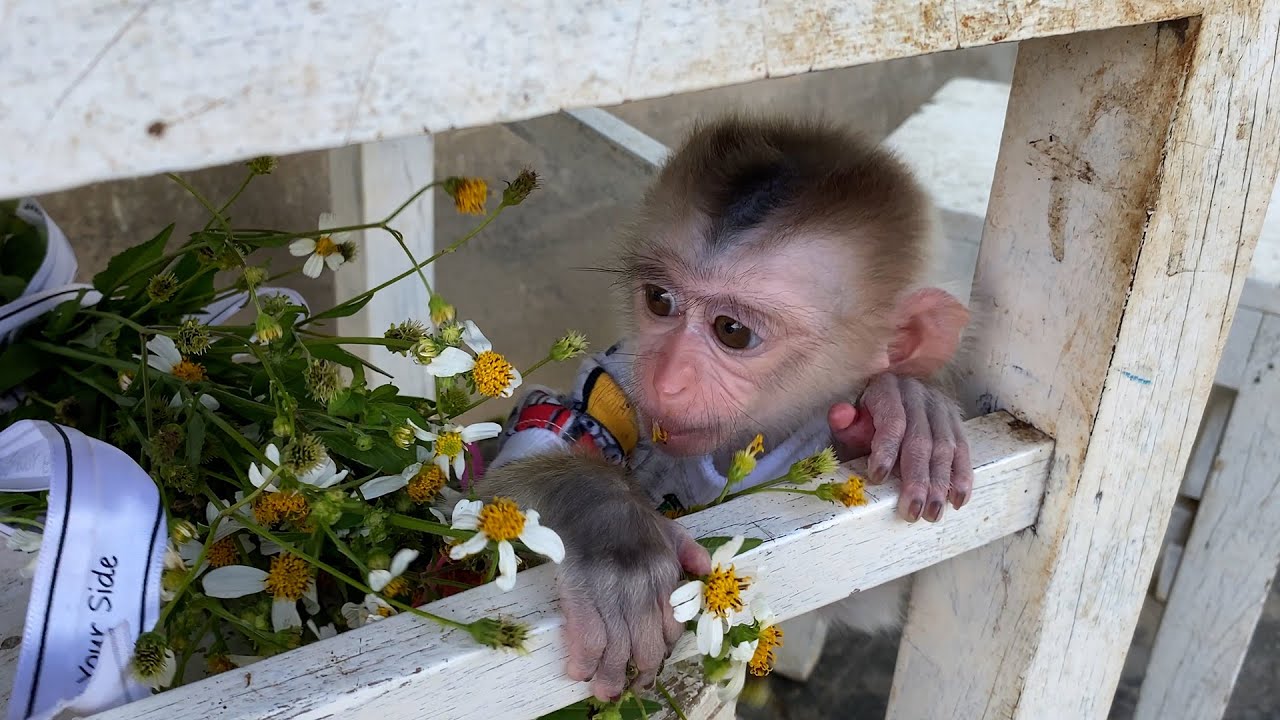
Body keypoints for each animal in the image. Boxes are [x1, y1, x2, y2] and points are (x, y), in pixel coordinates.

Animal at [469, 115, 972, 702]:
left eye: (732, 331)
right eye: (659, 300)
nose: (666, 381)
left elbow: (861, 590)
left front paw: (905, 410)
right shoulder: (614, 376)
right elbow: (528, 441)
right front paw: (616, 532)